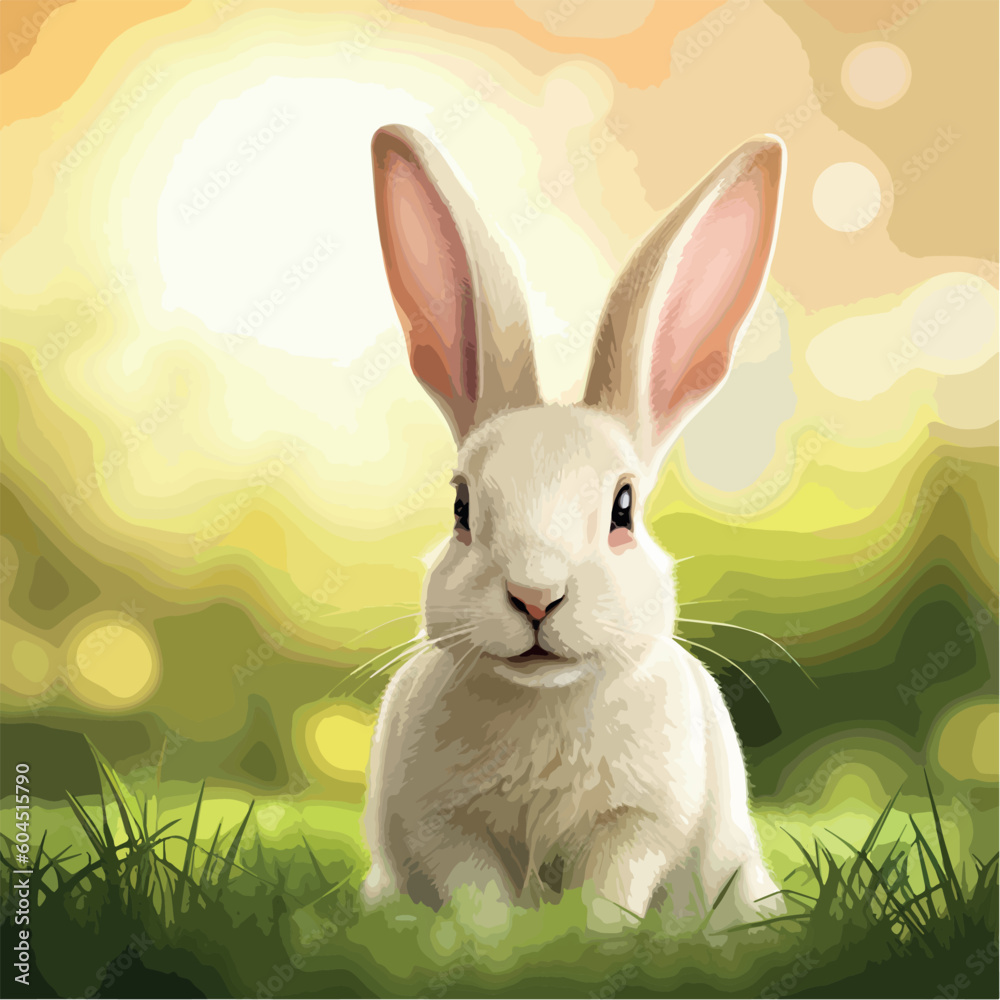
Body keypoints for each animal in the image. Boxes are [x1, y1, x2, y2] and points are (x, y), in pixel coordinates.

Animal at [361, 122, 787, 930]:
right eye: (462, 509)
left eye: (624, 509)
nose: (535, 596)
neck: (547, 699)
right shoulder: (448, 829)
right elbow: (480, 901)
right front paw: (490, 949)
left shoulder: (638, 827)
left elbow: (608, 895)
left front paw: (596, 944)